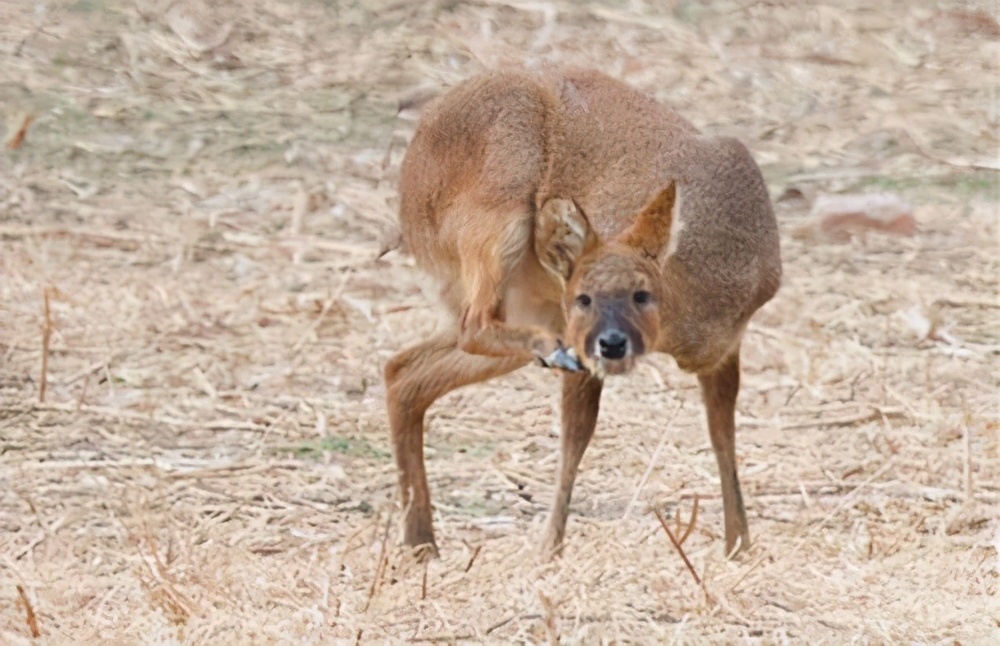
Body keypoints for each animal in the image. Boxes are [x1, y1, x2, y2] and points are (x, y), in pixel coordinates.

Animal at [384, 65, 782, 560]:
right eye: (582, 296)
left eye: (641, 294)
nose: (610, 342)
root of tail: (409, 197)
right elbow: (577, 435)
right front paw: (547, 552)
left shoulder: (726, 349)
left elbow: (723, 438)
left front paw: (739, 549)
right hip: (499, 218)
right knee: (469, 328)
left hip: (523, 308)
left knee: (404, 371)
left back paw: (421, 546)